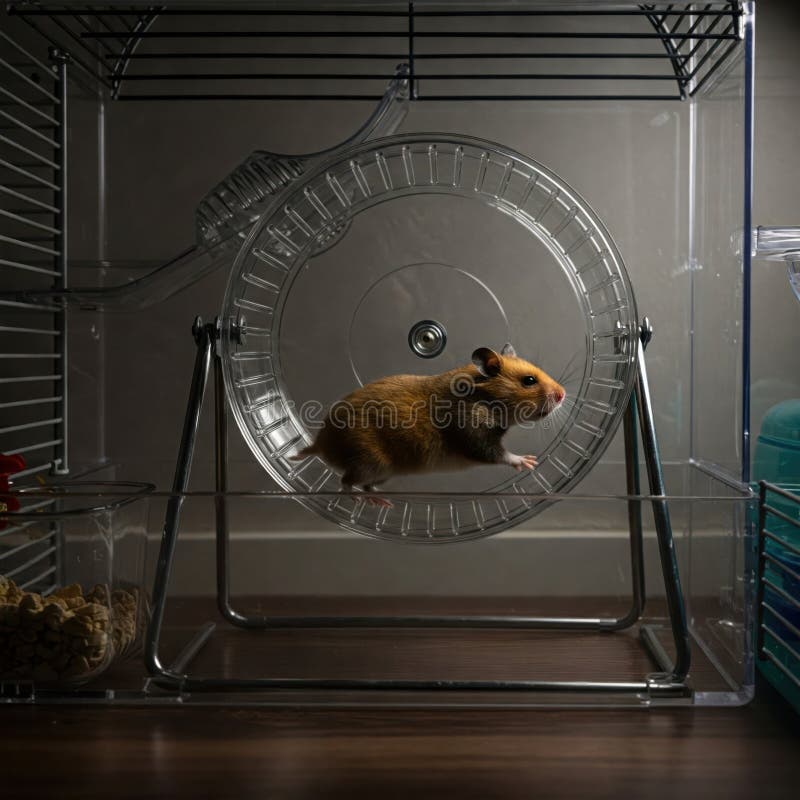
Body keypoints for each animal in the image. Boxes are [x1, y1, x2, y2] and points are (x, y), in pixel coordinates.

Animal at [292, 343, 566, 505]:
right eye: (529, 381)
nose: (563, 395)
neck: (483, 399)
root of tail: (320, 445)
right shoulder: (473, 436)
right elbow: (501, 454)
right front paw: (529, 462)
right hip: (368, 461)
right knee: (346, 483)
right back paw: (365, 501)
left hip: (384, 472)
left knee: (366, 485)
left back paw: (385, 500)